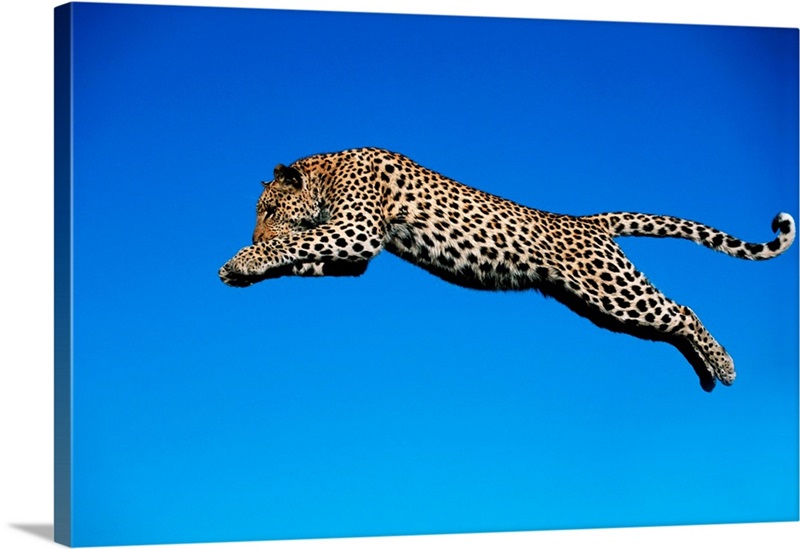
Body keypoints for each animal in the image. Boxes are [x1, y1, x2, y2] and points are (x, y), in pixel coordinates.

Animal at [219, 147, 795, 392]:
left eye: (268, 211)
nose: (255, 234)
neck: (326, 172)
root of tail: (584, 221)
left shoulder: (357, 228)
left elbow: (299, 241)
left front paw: (240, 259)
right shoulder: (352, 251)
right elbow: (303, 255)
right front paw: (245, 270)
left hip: (612, 288)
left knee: (682, 309)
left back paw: (724, 365)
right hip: (597, 306)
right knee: (670, 324)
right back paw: (706, 372)